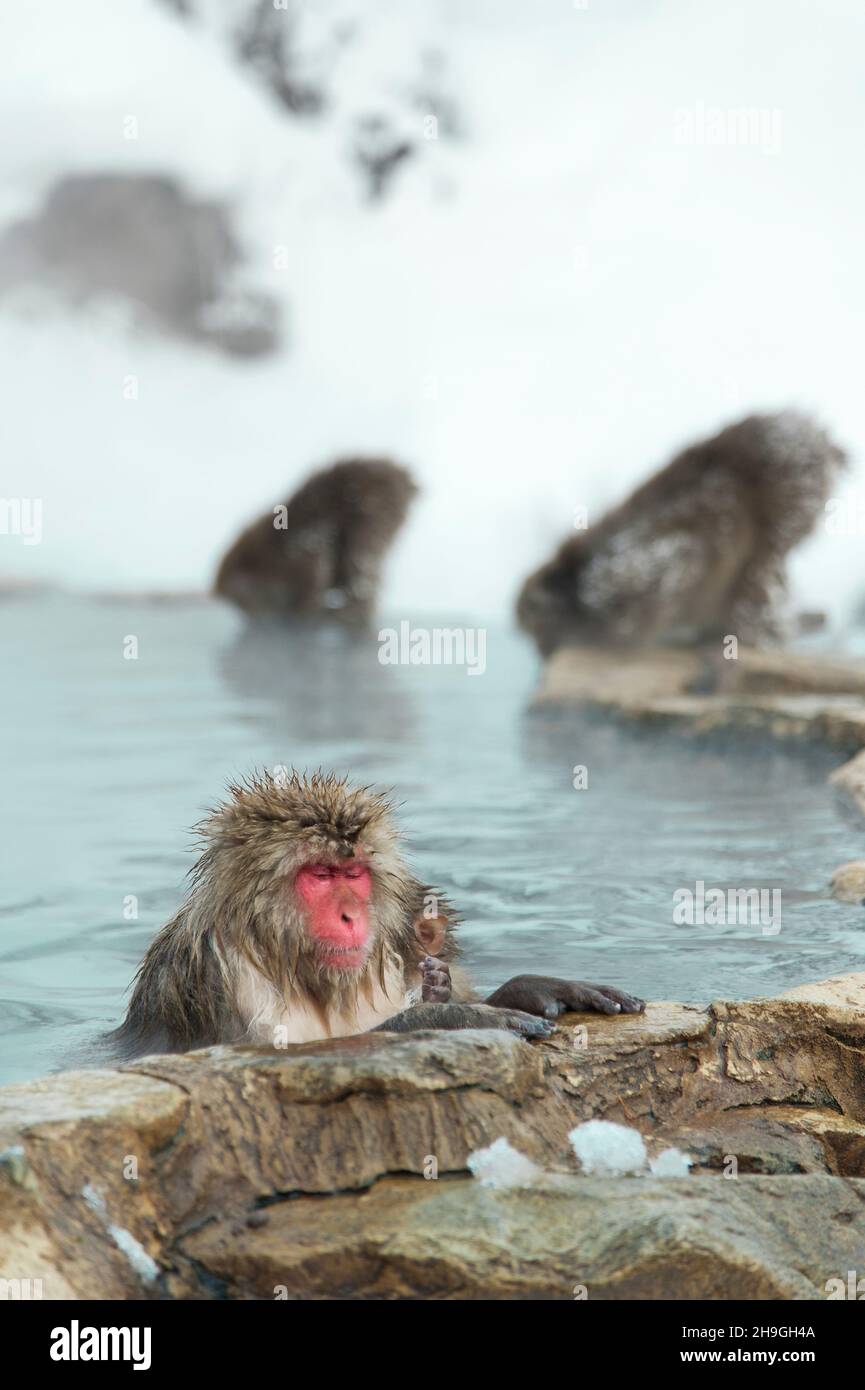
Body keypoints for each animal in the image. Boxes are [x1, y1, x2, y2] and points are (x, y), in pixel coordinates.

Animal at [108, 771, 643, 1059]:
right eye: (322, 874)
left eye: (354, 873)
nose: (350, 916)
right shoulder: (223, 978)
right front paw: (450, 1015)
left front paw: (529, 988)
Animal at [214, 458, 417, 627]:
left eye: (240, 602)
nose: (252, 617)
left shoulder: (306, 556)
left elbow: (316, 579)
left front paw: (305, 612)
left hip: (371, 524)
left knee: (362, 570)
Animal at [517, 412, 847, 659]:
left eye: (540, 633)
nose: (543, 653)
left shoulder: (640, 575)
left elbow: (686, 560)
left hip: (789, 501)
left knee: (759, 567)